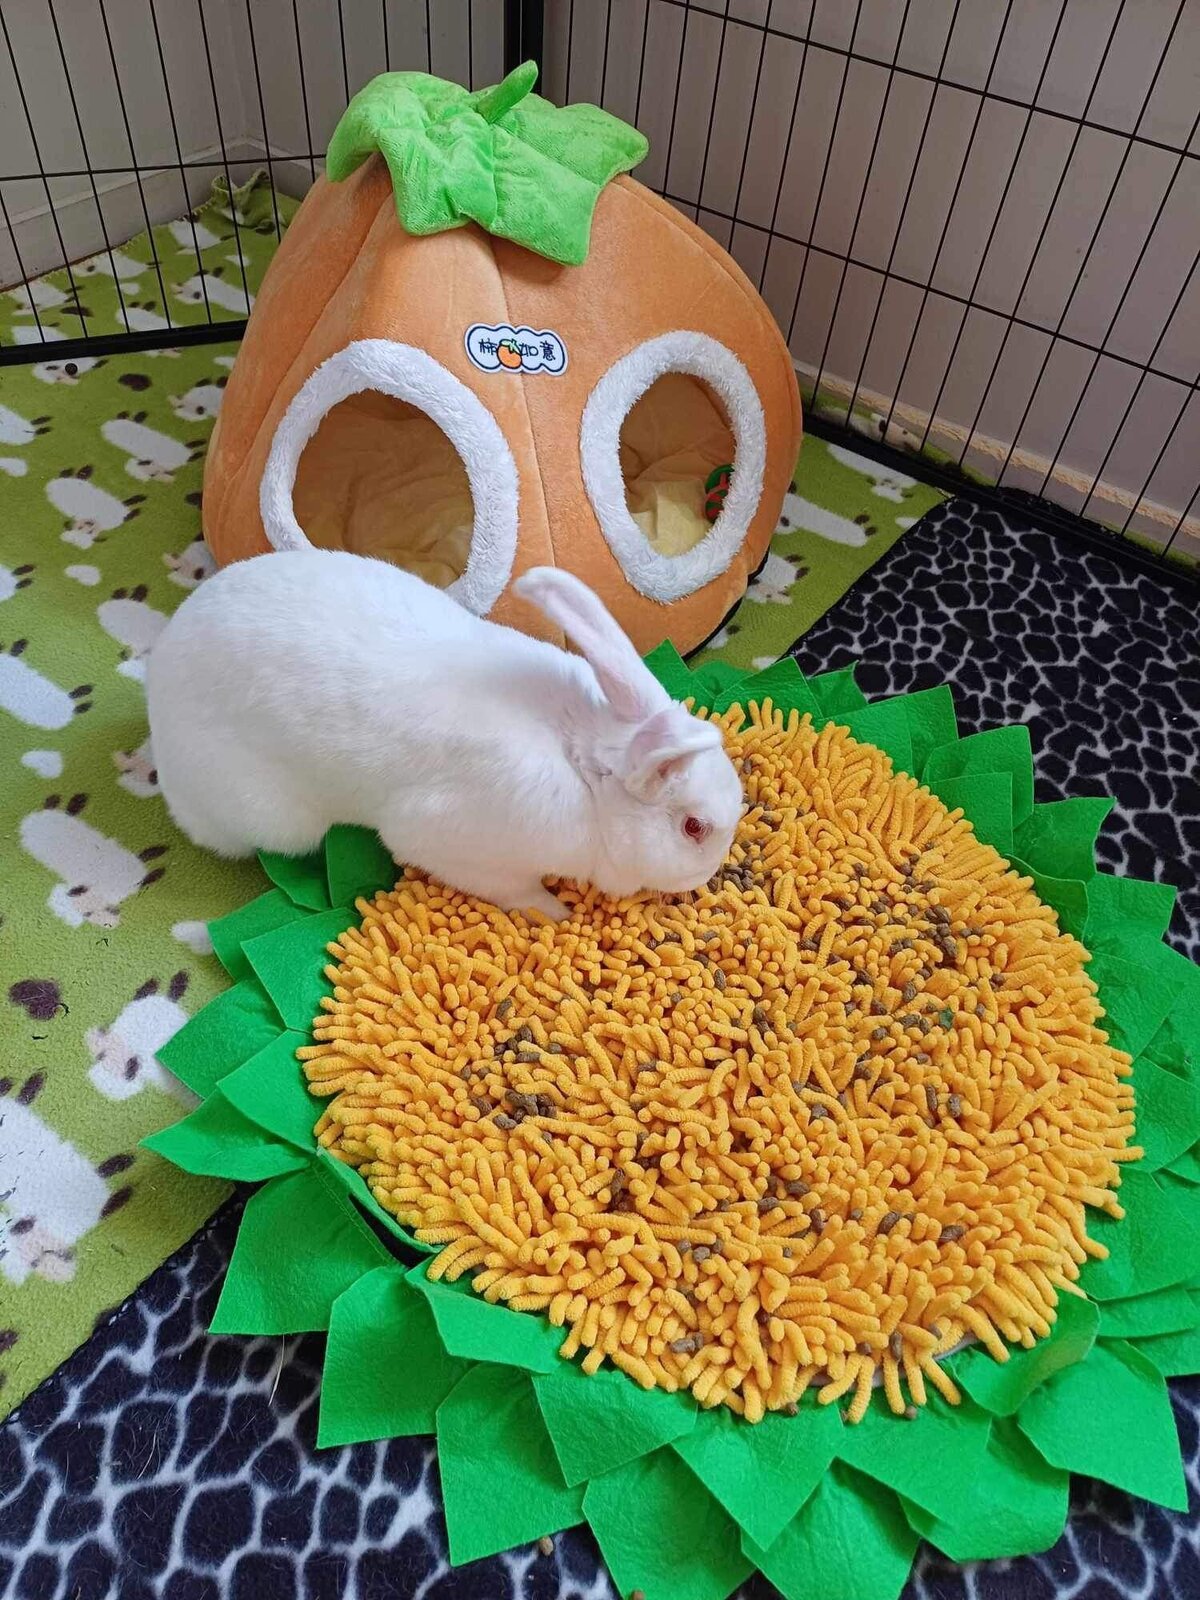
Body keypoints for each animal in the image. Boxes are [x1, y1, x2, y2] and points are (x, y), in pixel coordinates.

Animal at [146, 550, 743, 920]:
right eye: (694, 827)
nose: (707, 875)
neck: (585, 765)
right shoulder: (451, 845)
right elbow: (516, 888)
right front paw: (554, 909)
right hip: (268, 818)